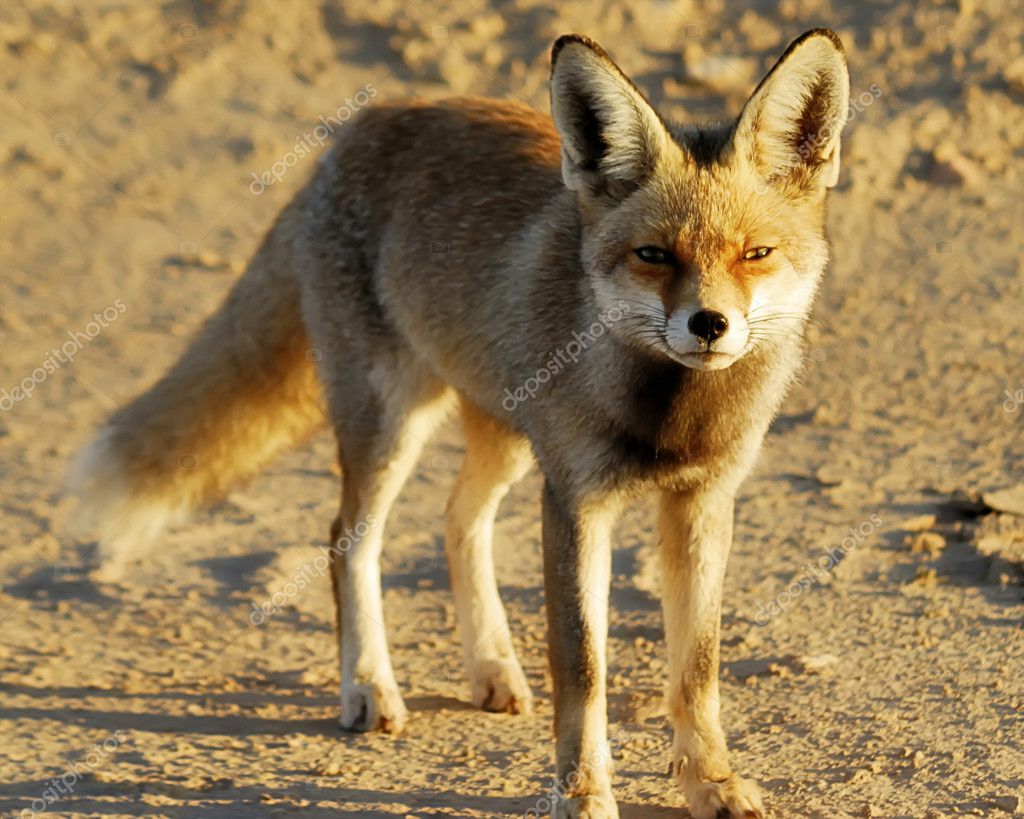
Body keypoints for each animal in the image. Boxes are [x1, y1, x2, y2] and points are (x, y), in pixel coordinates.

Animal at [70, 29, 850, 819]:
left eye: (756, 254)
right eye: (654, 255)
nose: (709, 324)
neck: (668, 415)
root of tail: (369, 119)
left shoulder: (703, 501)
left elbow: (697, 668)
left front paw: (710, 781)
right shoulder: (575, 502)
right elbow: (583, 668)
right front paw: (583, 792)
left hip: (504, 433)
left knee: (458, 519)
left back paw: (491, 666)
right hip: (391, 425)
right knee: (349, 540)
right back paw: (369, 684)